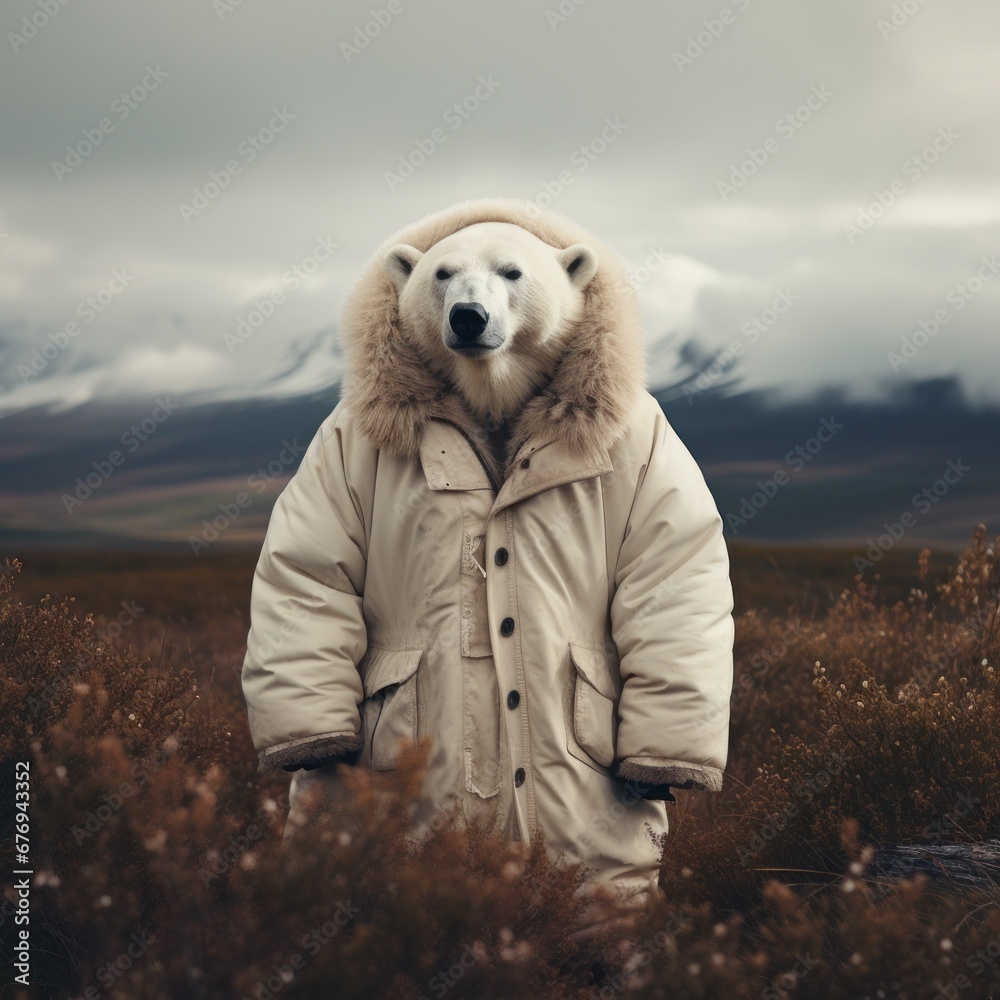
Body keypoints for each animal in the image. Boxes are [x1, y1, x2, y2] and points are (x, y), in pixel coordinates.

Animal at [240, 198, 735, 907]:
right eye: (442, 272)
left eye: (512, 270)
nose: (468, 317)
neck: (495, 399)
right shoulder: (347, 441)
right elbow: (317, 562)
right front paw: (316, 744)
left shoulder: (640, 439)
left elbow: (668, 560)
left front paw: (657, 769)